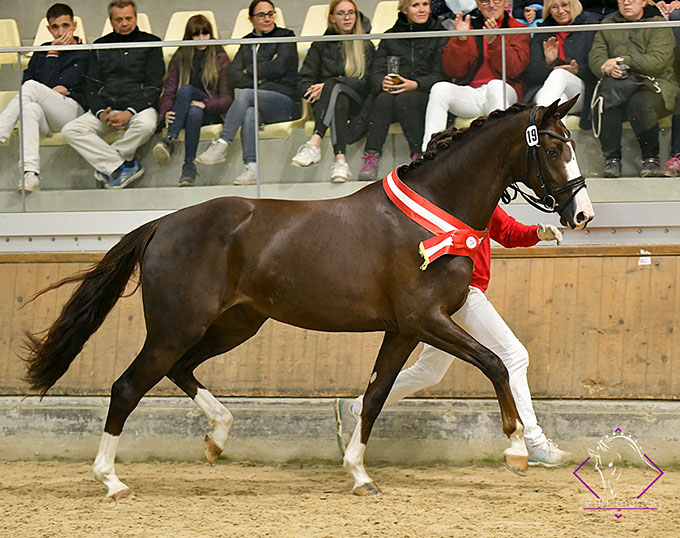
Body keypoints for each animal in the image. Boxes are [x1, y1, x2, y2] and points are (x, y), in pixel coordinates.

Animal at [23, 98, 594, 499]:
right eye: (553, 149)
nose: (580, 214)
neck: (432, 216)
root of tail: (163, 224)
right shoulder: (425, 319)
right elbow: (494, 364)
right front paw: (516, 449)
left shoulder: (402, 329)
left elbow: (376, 395)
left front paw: (359, 474)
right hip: (176, 326)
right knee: (127, 387)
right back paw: (112, 480)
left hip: (234, 324)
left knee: (180, 369)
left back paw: (217, 438)